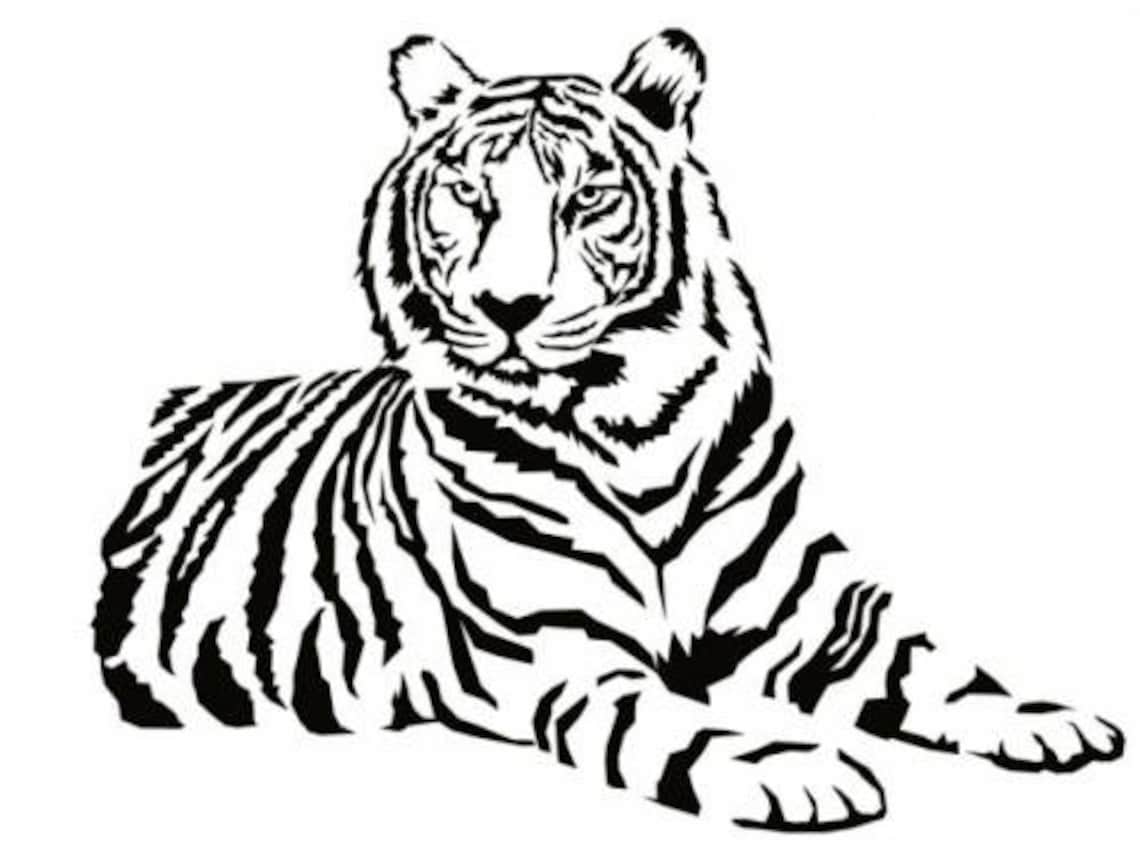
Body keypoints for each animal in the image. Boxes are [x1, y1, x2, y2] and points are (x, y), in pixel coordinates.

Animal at [94, 29, 1124, 832]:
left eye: (587, 198)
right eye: (470, 197)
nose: (509, 307)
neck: (630, 426)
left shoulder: (807, 601)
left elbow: (932, 667)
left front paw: (1049, 719)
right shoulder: (561, 646)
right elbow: (682, 726)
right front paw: (800, 771)